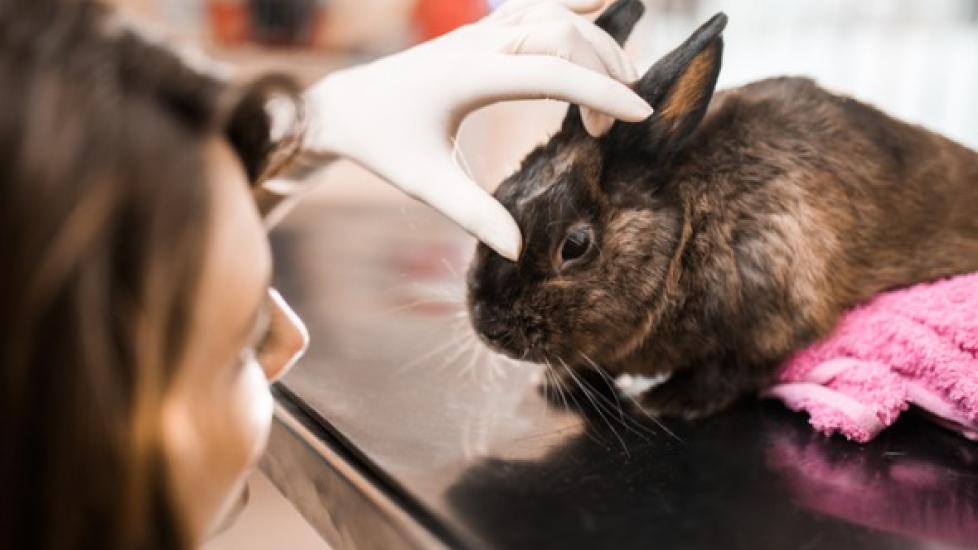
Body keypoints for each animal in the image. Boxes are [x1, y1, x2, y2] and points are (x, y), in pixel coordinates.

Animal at [465, 0, 978, 419]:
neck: (687, 228)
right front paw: (559, 382)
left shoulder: (772, 320)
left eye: (574, 245)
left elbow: (731, 373)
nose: (488, 326)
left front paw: (665, 401)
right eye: (502, 192)